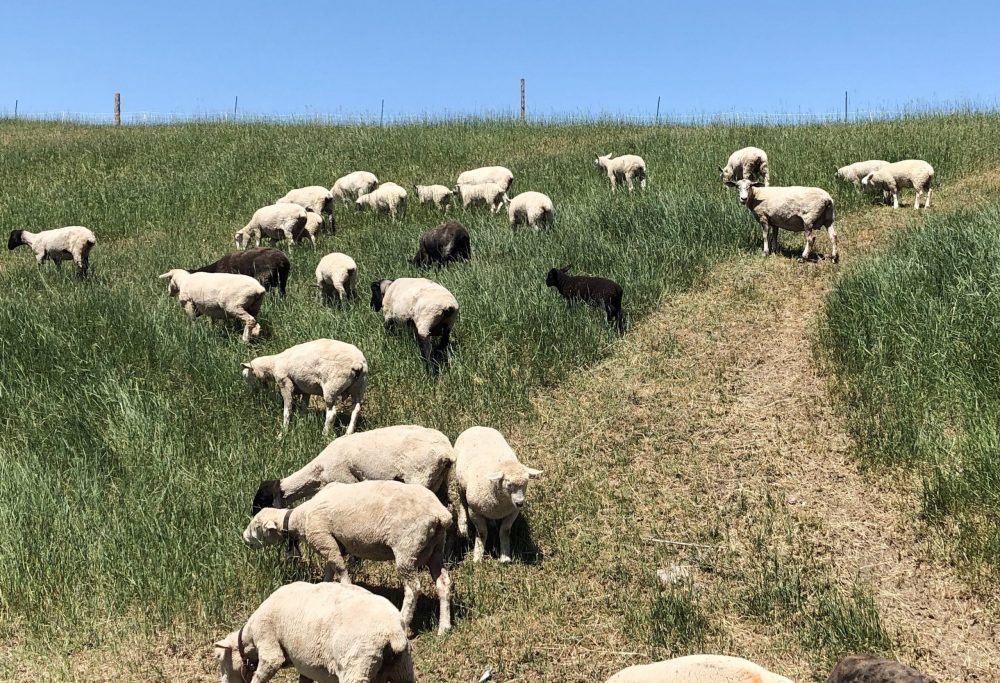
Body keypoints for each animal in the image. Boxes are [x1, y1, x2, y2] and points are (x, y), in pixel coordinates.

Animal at [213, 581, 414, 683]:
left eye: (220, 659)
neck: (249, 639)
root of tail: (392, 632)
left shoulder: (266, 637)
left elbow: (269, 663)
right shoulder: (305, 662)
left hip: (357, 665)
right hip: (402, 668)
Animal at [244, 480, 453, 635]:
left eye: (256, 527)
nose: (244, 538)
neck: (300, 518)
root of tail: (440, 514)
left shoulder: (323, 538)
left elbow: (341, 572)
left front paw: (348, 592)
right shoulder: (330, 544)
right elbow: (329, 571)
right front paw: (324, 589)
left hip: (407, 547)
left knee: (413, 588)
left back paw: (404, 621)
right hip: (435, 548)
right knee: (443, 583)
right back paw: (444, 627)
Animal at [251, 424, 455, 514]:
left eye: (262, 500)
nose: (252, 515)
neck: (318, 471)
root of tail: (446, 452)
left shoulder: (346, 480)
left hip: (421, 476)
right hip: (440, 481)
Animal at [454, 426, 542, 563]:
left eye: (526, 483)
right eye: (509, 484)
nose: (520, 503)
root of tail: (478, 427)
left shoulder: (512, 512)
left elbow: (505, 531)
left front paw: (505, 557)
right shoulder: (475, 511)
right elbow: (482, 533)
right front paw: (478, 556)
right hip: (460, 484)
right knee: (463, 503)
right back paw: (463, 526)